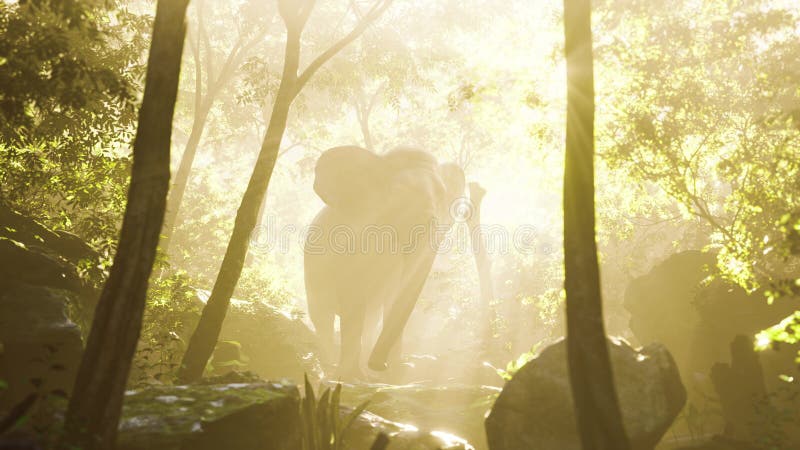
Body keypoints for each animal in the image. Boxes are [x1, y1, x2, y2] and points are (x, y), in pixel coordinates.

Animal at [304, 145, 465, 377]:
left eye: (442, 195)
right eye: (397, 192)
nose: (380, 365)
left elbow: (398, 293)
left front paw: (398, 372)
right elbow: (352, 293)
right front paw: (351, 376)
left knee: (370, 319)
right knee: (322, 317)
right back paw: (328, 368)